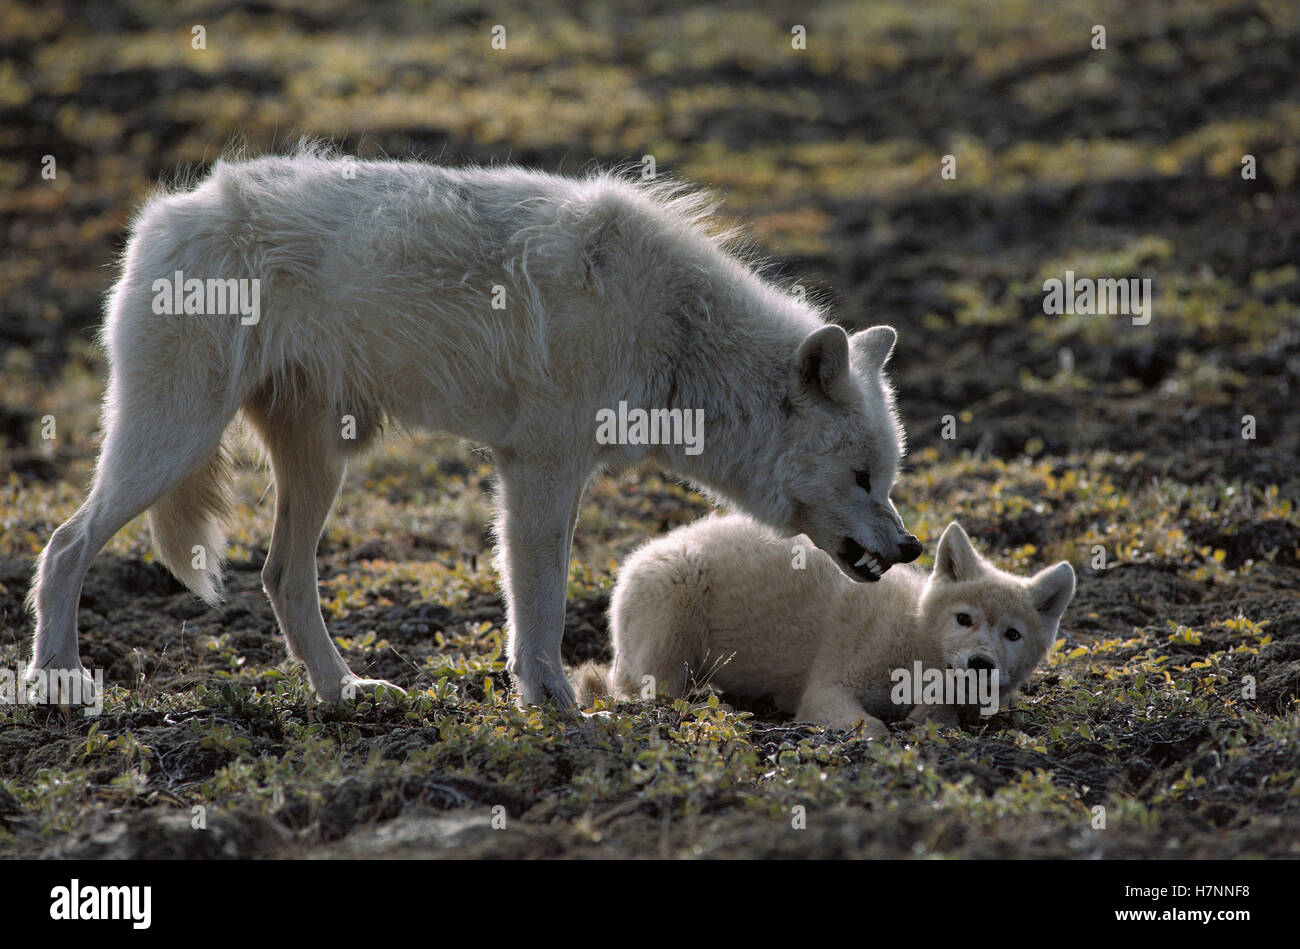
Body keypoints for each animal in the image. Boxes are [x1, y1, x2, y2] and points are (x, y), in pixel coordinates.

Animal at [27, 150, 921, 710]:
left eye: (886, 477)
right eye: (861, 476)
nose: (911, 545)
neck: (676, 333)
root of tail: (162, 213)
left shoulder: (555, 475)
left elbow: (538, 599)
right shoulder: (537, 471)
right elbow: (543, 604)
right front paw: (553, 702)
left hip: (317, 464)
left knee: (281, 576)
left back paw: (344, 693)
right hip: (170, 442)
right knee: (64, 544)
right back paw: (58, 680)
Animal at [580, 516, 1075, 736]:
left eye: (1013, 634)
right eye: (964, 618)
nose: (979, 664)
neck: (915, 634)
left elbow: (940, 715)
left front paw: (930, 717)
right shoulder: (829, 688)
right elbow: (871, 726)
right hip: (675, 609)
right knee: (655, 692)